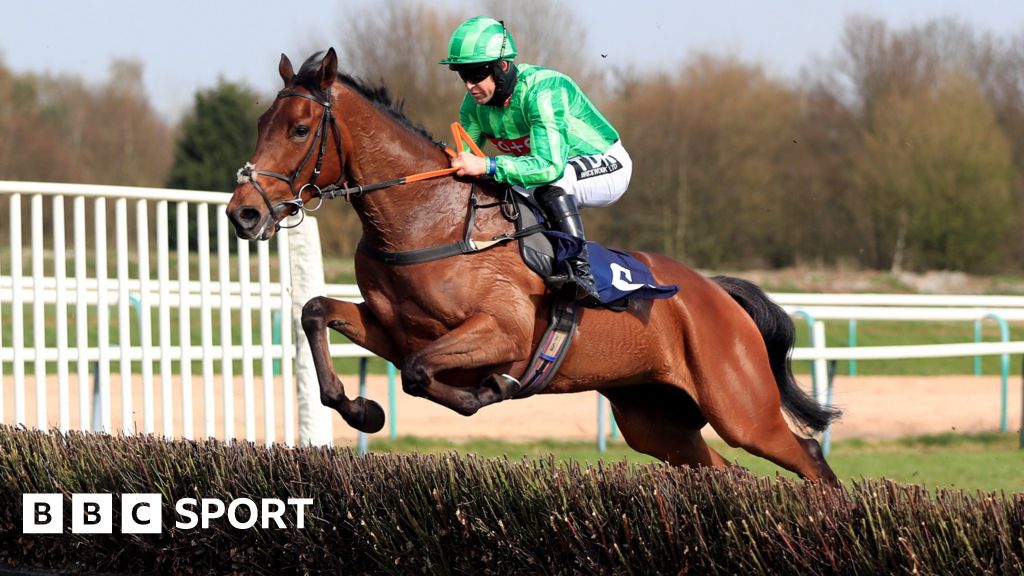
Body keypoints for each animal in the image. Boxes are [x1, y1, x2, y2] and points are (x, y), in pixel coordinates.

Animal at [226, 48, 841, 484]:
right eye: (259, 122)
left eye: (300, 129)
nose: (243, 213)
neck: (427, 221)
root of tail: (715, 293)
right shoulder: (392, 328)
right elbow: (316, 312)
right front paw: (361, 411)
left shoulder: (506, 331)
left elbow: (422, 373)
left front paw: (488, 390)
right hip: (657, 422)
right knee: (726, 475)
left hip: (742, 409)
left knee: (808, 455)